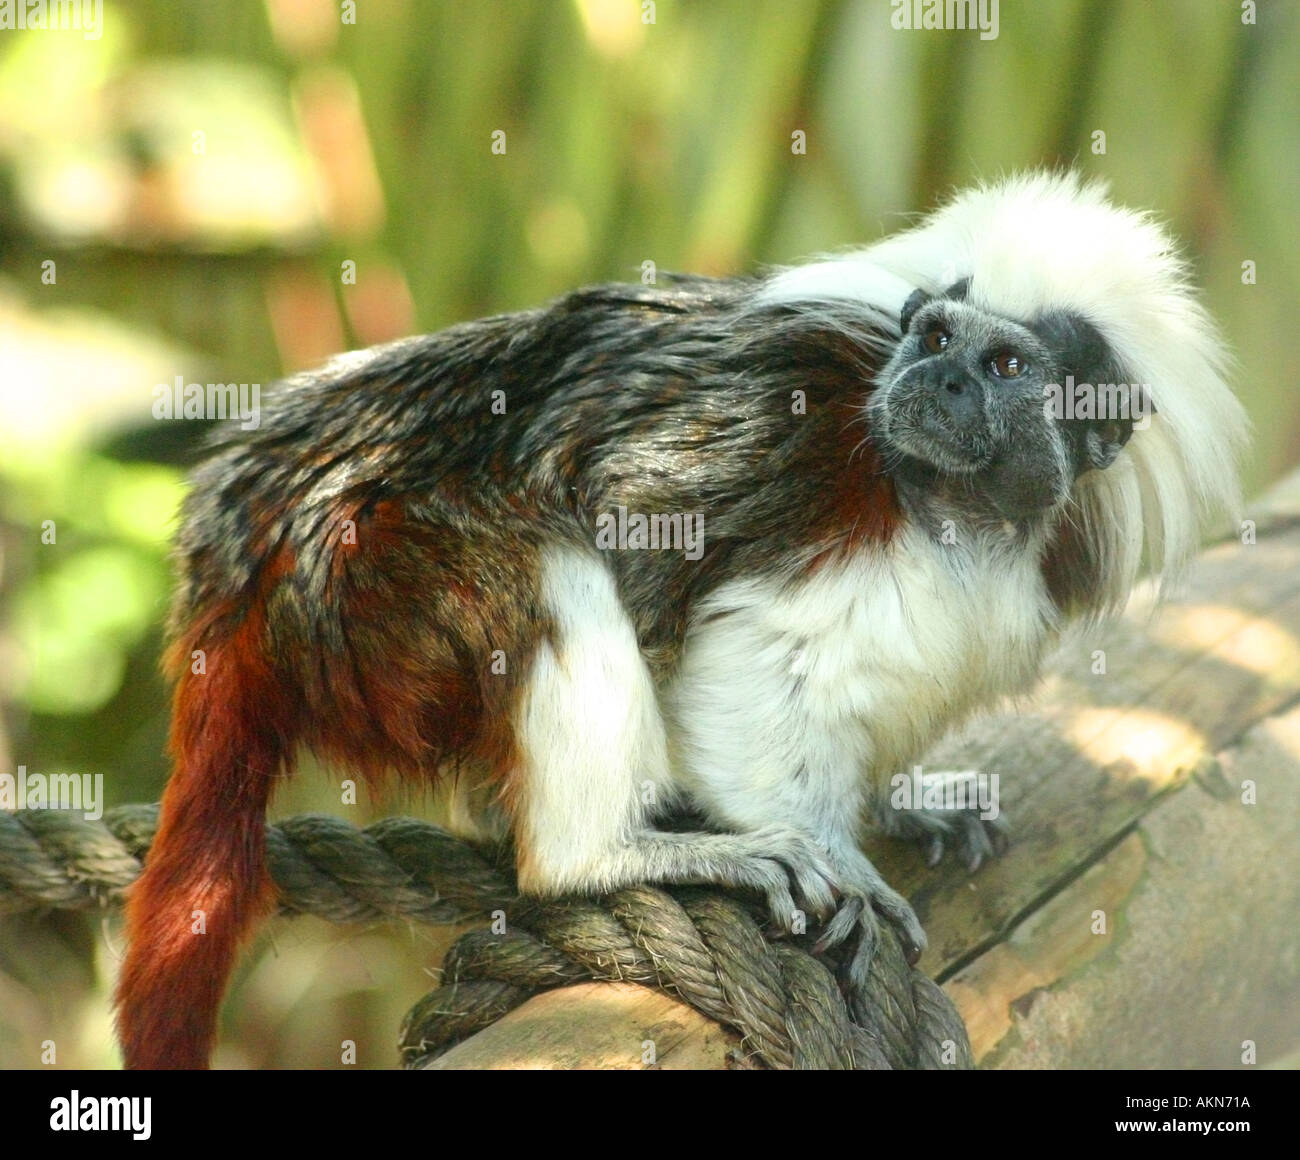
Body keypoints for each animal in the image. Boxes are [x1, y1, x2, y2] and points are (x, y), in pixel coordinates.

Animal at [114, 172, 1247, 1068]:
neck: (949, 512)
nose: (939, 378)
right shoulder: (801, 465)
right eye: (935, 339)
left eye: (1006, 367)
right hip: (372, 582)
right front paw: (835, 852)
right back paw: (614, 852)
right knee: (548, 561)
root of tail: (241, 557)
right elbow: (736, 648)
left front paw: (901, 802)